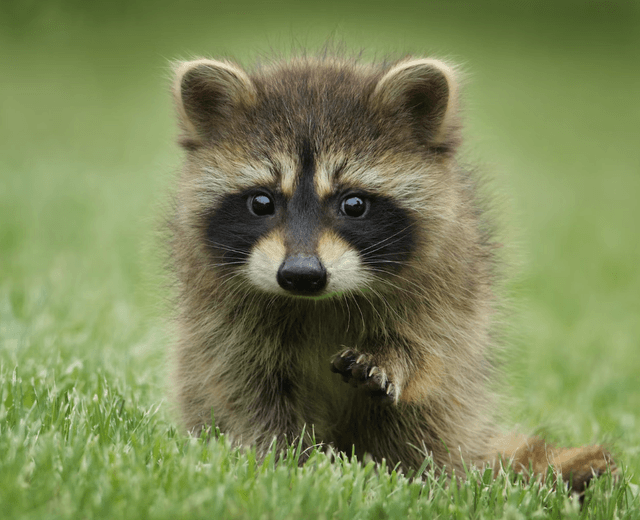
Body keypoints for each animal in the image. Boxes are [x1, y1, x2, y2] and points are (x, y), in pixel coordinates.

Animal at [169, 53, 616, 492]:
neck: (319, 301)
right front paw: (285, 462)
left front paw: (394, 358)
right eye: (262, 202)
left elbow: (432, 348)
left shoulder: (450, 279)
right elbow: (245, 386)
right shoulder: (221, 314)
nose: (301, 274)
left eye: (353, 204)